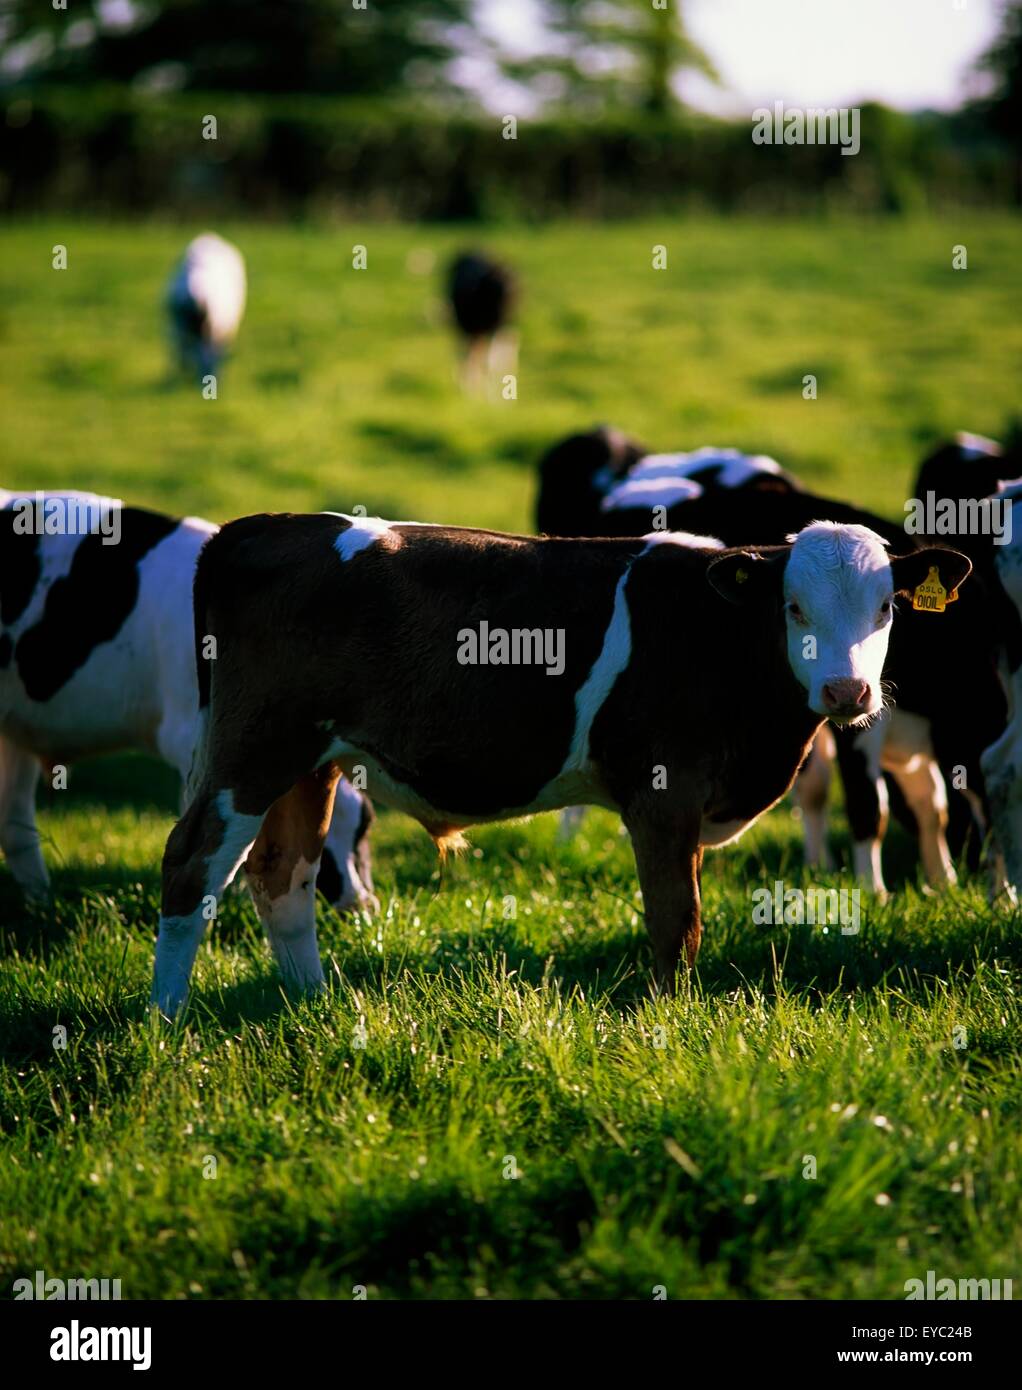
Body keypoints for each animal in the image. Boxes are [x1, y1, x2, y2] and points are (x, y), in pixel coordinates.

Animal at [149, 509, 968, 1017]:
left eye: (887, 608)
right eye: (793, 608)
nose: (847, 691)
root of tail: (257, 527)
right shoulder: (662, 796)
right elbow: (677, 922)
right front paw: (670, 1022)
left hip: (308, 759)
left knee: (281, 876)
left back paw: (312, 1005)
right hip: (254, 749)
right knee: (193, 864)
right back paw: (166, 1020)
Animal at [536, 427, 1006, 895]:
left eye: (887, 605)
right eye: (791, 607)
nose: (991, 882)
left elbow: (933, 804)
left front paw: (950, 885)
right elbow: (869, 807)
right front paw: (873, 892)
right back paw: (567, 844)